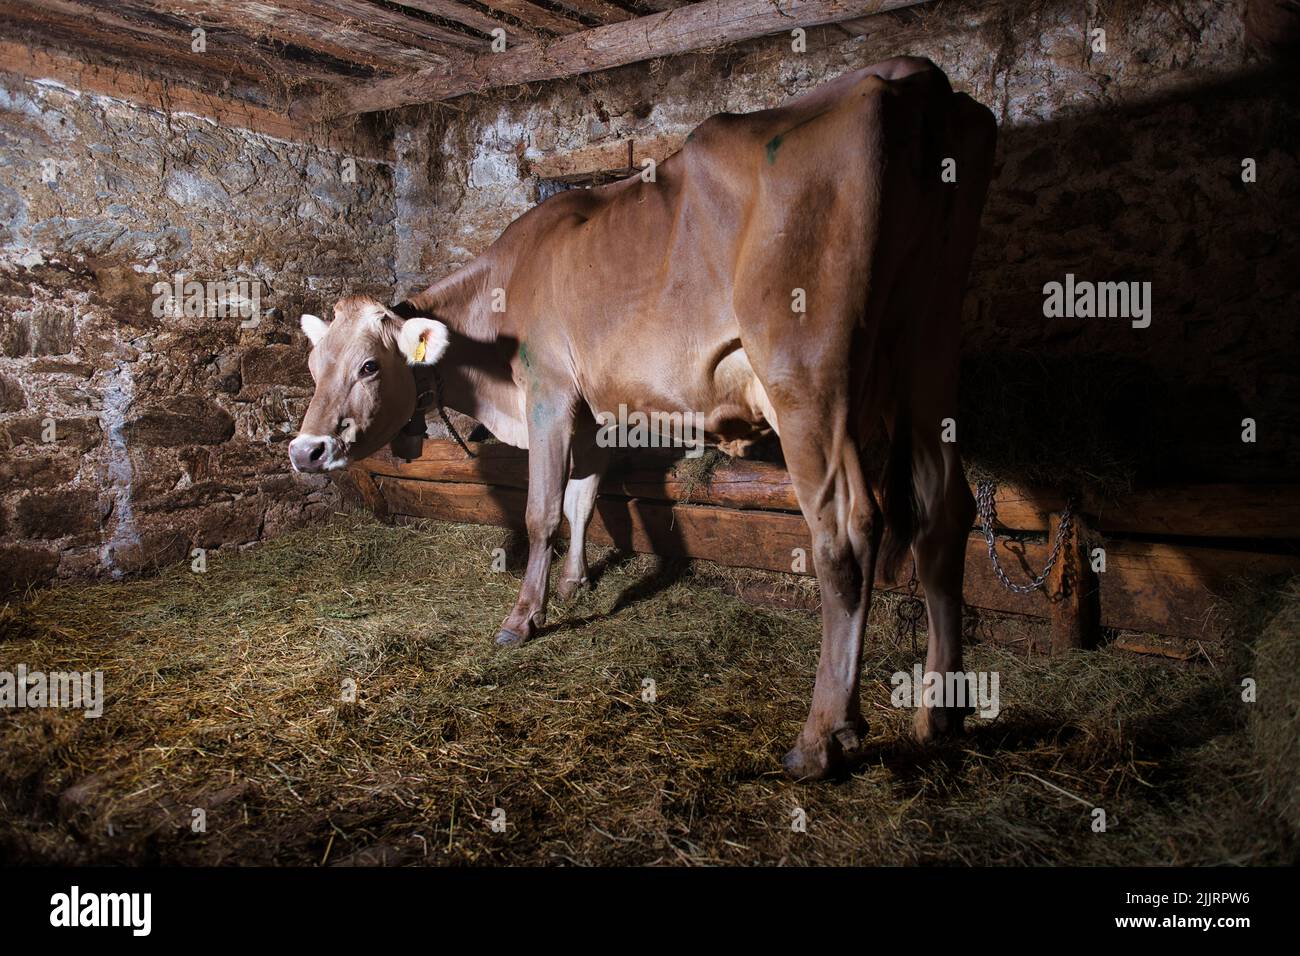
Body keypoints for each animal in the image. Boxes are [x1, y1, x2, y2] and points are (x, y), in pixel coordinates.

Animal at [289, 56, 997, 780]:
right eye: (313, 366)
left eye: (369, 367)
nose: (304, 451)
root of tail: (912, 77)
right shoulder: (594, 413)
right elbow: (583, 498)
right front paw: (574, 584)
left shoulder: (547, 394)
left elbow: (541, 512)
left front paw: (524, 617)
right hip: (931, 352)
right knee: (944, 513)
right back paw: (938, 713)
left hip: (807, 378)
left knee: (849, 530)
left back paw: (823, 736)